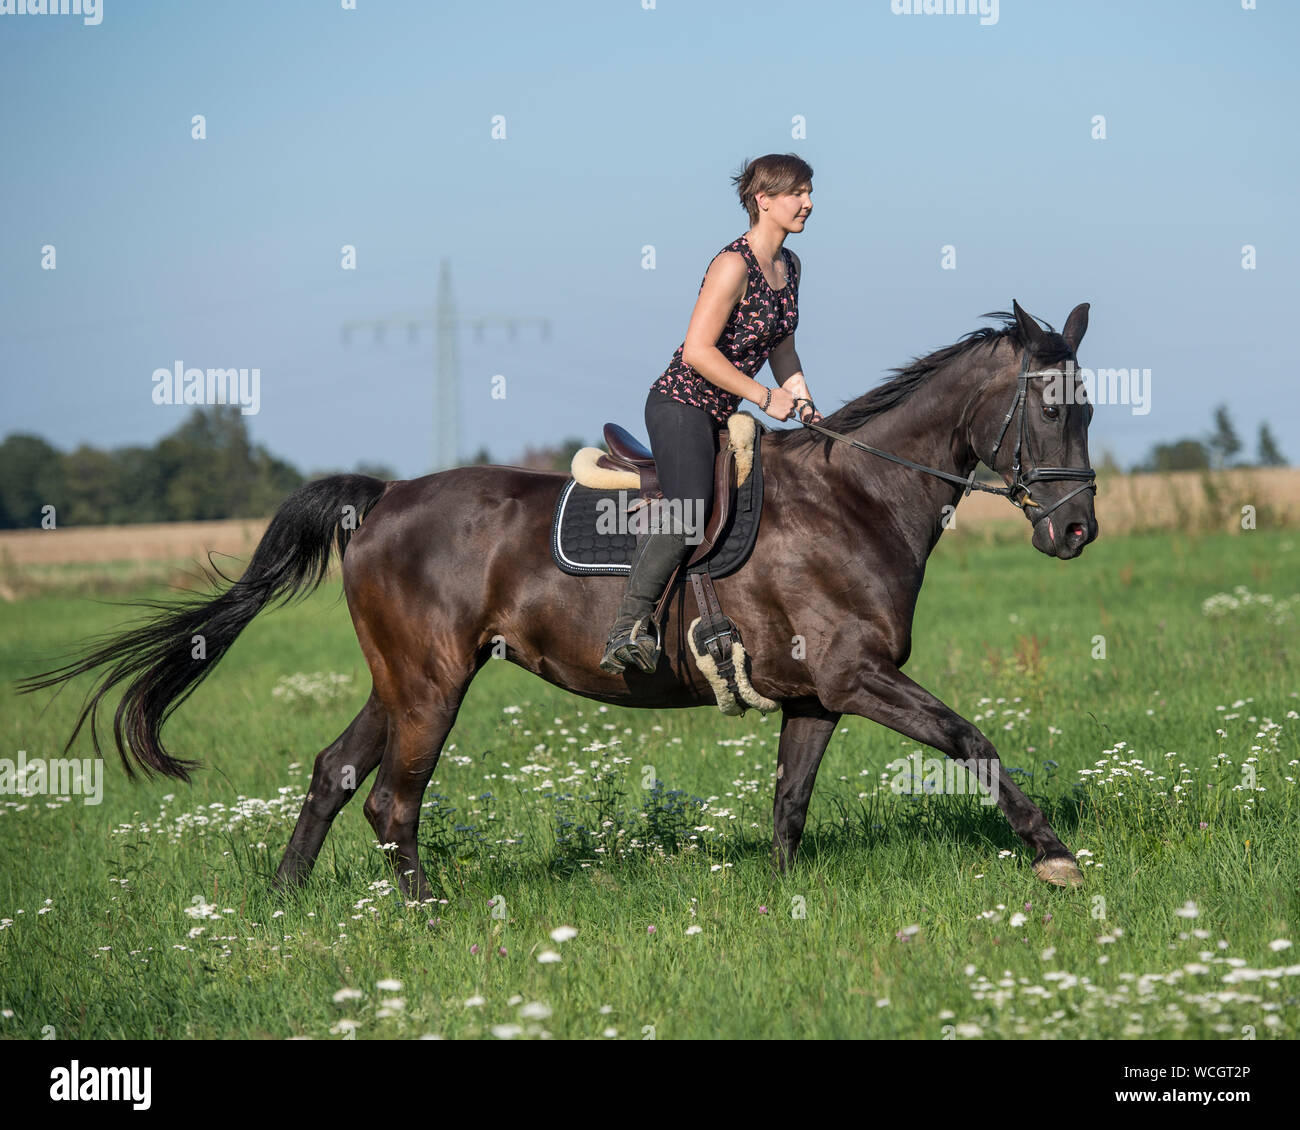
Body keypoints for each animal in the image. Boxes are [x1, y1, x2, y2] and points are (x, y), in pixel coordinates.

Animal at [21, 300, 1099, 900]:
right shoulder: (855, 674)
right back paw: (428, 919)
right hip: (433, 681)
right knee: (392, 799)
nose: (1076, 531)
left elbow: (790, 802)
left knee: (333, 772)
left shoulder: (815, 694)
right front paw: (1054, 856)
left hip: (401, 677)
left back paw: (283, 902)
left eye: (1089, 407)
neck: (858, 498)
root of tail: (382, 497)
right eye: (1053, 409)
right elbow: (969, 740)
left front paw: (778, 899)